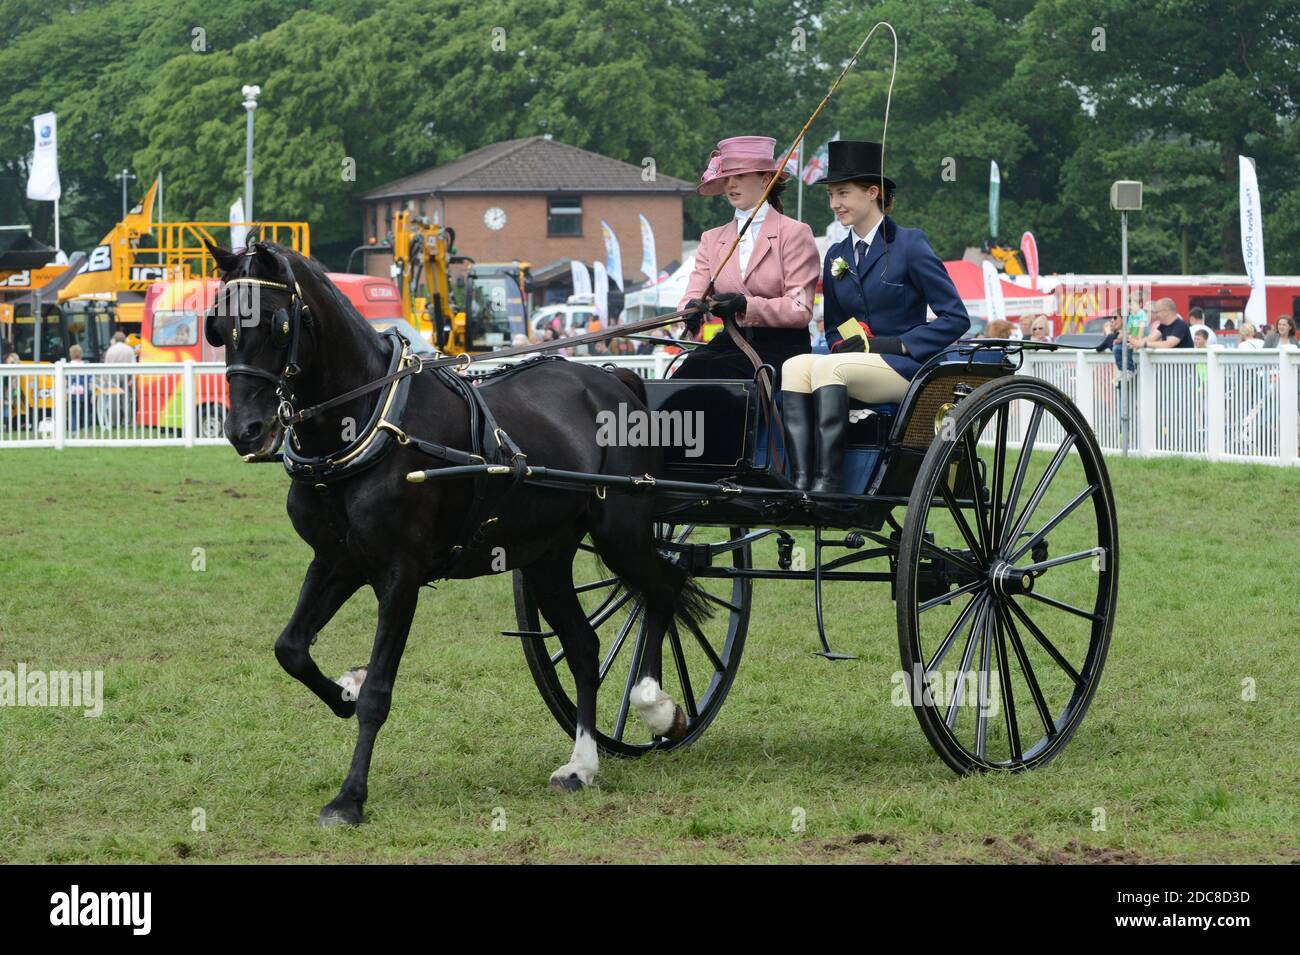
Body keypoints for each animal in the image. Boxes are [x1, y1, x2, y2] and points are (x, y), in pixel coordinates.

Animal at [203, 240, 709, 825]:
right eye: (219, 326)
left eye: (277, 324)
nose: (244, 430)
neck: (369, 420)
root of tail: (611, 378)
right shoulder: (336, 561)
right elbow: (291, 649)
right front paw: (345, 690)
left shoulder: (401, 573)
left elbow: (379, 692)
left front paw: (350, 797)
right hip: (546, 556)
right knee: (584, 645)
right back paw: (582, 764)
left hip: (621, 530)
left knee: (664, 589)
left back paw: (657, 706)